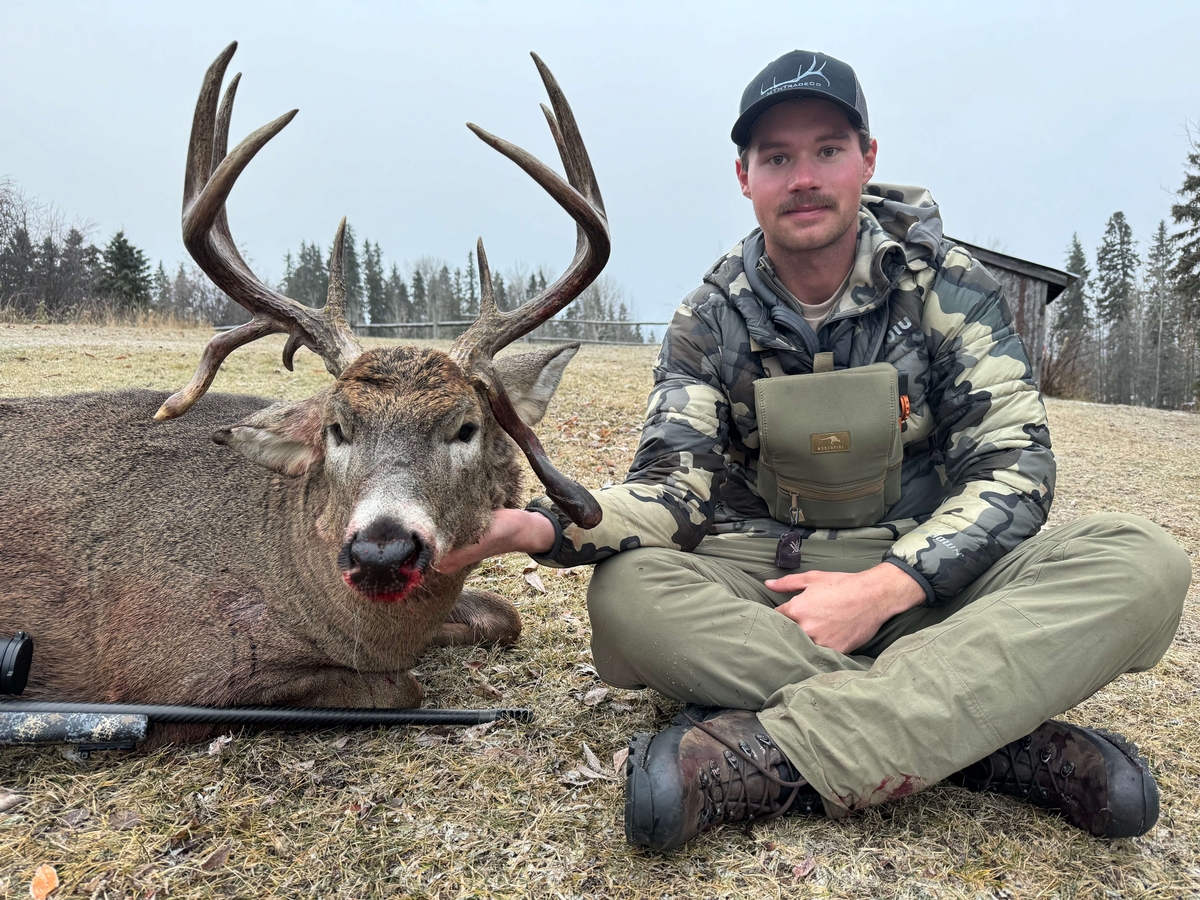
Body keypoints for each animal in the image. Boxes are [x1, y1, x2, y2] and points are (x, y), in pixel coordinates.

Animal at [0, 43, 607, 743]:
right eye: (336, 428)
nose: (381, 549)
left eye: (466, 427)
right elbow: (402, 687)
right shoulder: (164, 671)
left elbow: (505, 616)